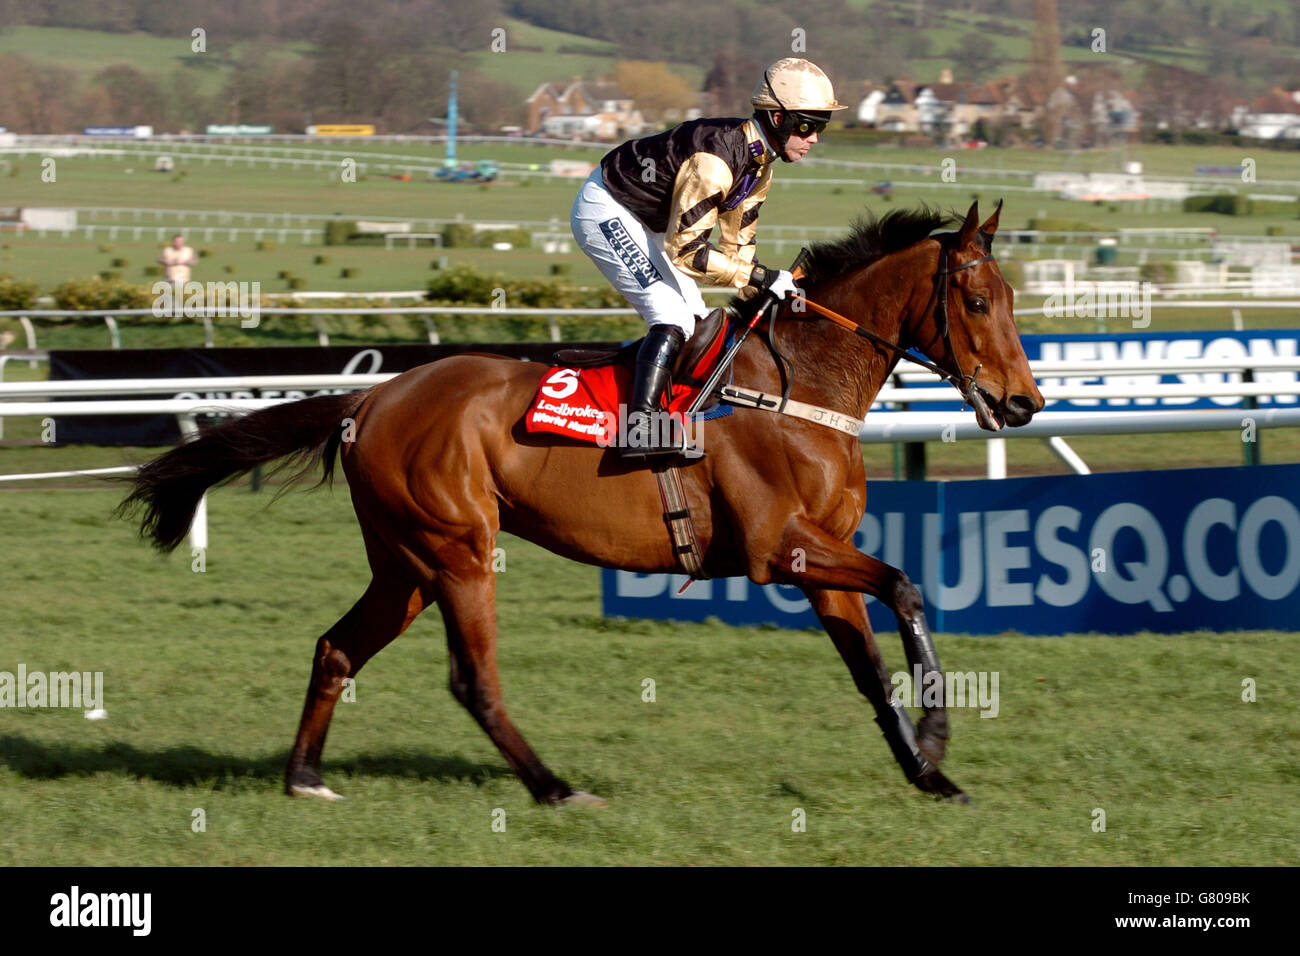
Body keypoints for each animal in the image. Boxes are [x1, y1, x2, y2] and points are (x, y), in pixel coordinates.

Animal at [117, 200, 1043, 807]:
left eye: (1008, 299)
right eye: (976, 300)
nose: (1024, 403)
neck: (797, 387)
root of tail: (371, 398)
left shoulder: (817, 561)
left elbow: (870, 663)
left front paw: (930, 772)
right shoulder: (779, 548)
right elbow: (906, 587)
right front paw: (937, 738)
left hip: (405, 562)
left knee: (337, 648)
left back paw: (305, 777)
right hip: (458, 549)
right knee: (472, 678)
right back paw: (554, 788)